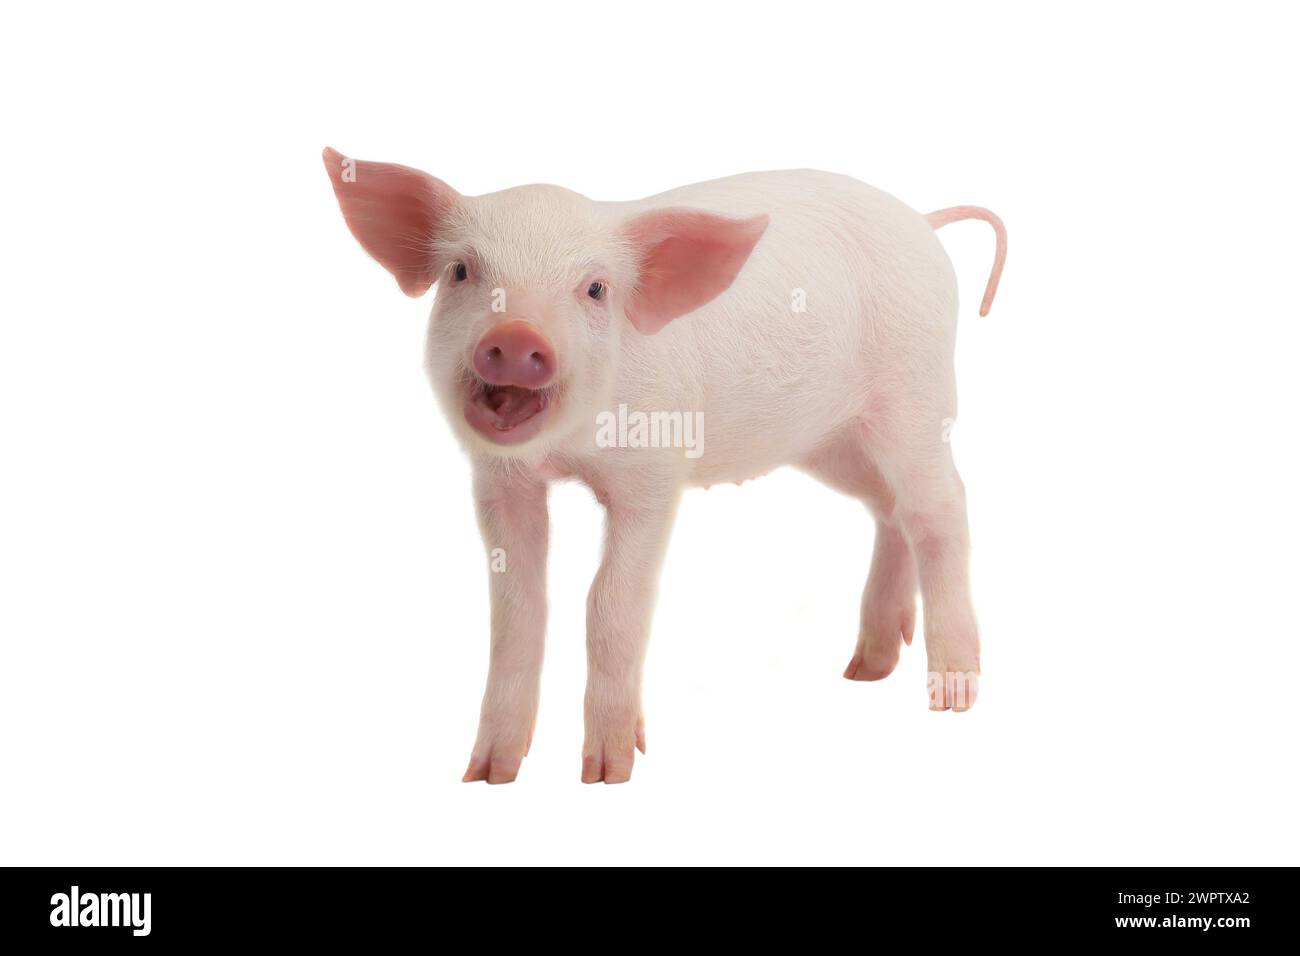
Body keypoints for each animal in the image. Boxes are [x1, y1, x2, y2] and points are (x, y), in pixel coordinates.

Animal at [322, 147, 1006, 784]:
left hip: (916, 397)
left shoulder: (651, 476)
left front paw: (607, 772)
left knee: (942, 505)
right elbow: (515, 613)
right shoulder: (499, 481)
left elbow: (610, 604)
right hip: (831, 442)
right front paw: (489, 774)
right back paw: (865, 671)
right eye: (462, 271)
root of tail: (922, 221)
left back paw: (951, 697)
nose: (516, 336)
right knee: (892, 509)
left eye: (595, 289)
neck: (571, 447)